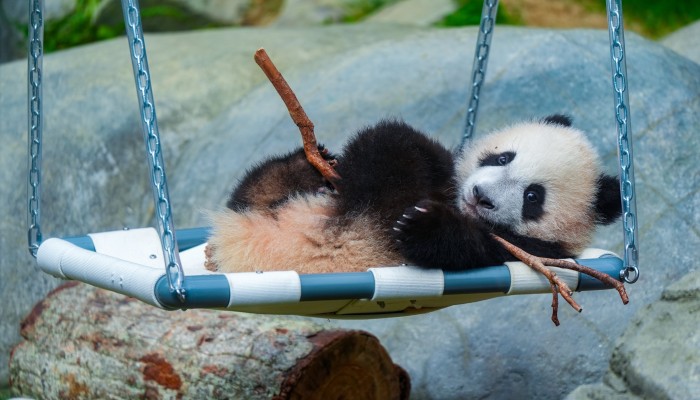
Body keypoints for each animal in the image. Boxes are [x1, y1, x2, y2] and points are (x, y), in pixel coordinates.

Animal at [205, 115, 621, 274]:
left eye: (532, 197)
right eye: (504, 157)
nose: (480, 196)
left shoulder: (536, 251)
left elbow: (468, 245)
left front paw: (423, 227)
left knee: (390, 143)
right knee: (253, 191)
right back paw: (305, 166)